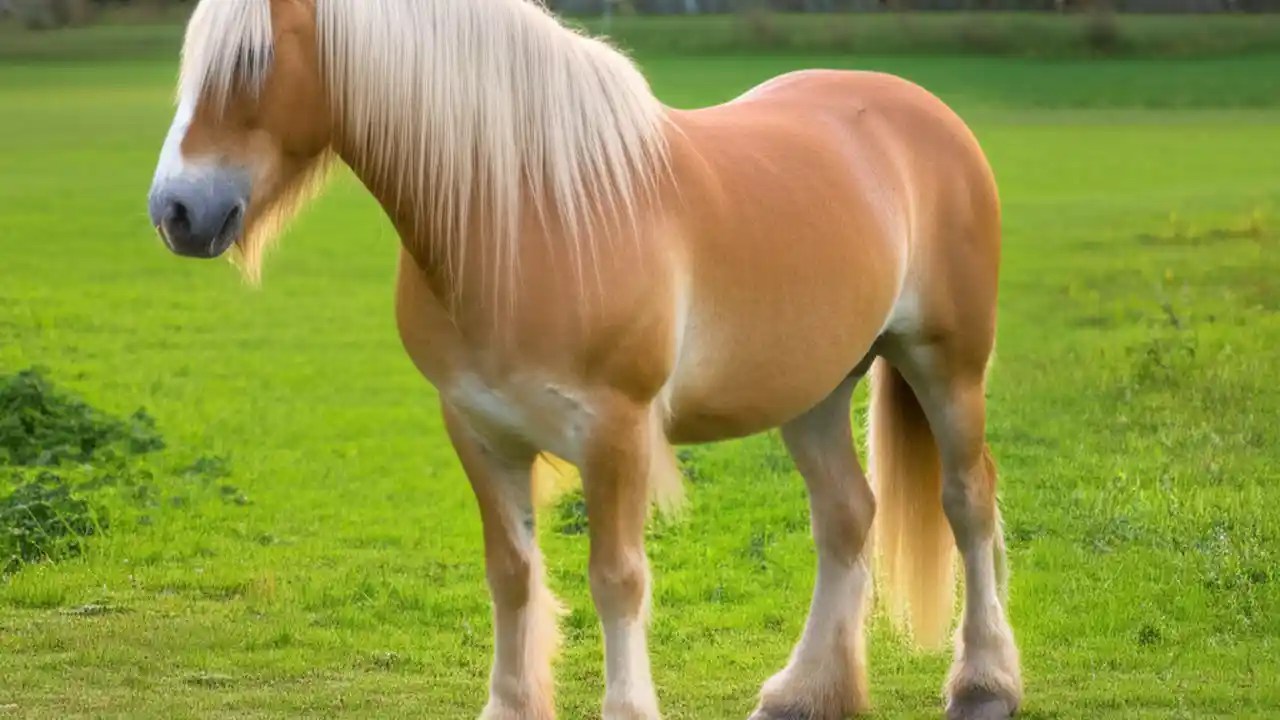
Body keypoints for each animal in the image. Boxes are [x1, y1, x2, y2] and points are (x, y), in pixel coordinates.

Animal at [146, 2, 1022, 718]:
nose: (176, 212)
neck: (525, 217)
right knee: (846, 516)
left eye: (252, 58)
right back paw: (803, 694)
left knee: (967, 499)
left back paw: (983, 685)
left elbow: (617, 578)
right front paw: (510, 705)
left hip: (946, 363)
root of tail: (924, 111)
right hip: (814, 390)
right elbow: (511, 574)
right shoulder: (478, 429)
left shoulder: (616, 433)